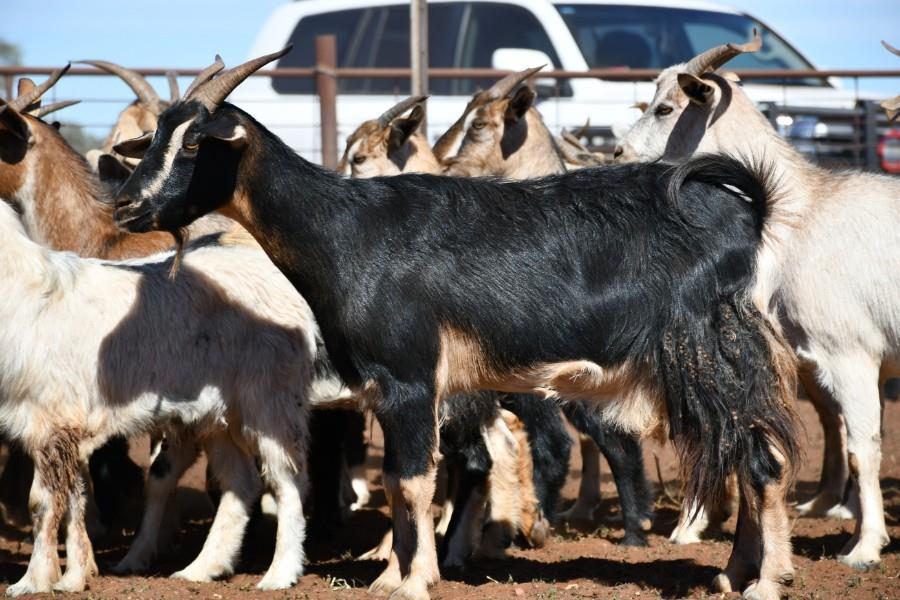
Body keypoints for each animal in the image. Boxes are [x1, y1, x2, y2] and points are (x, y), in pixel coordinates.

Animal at [113, 48, 801, 600]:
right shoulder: (390, 390)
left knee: (761, 461)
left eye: (196, 143)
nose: (125, 206)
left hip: (709, 356)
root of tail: (749, 212)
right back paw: (731, 574)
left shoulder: (412, 378)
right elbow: (398, 482)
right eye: (156, 136)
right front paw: (402, 574)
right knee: (748, 455)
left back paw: (766, 583)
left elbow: (414, 482)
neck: (349, 231)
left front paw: (415, 581)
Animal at [616, 31, 900, 573]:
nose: (619, 151)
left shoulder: (851, 353)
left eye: (665, 108)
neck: (802, 213)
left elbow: (864, 447)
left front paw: (865, 547)